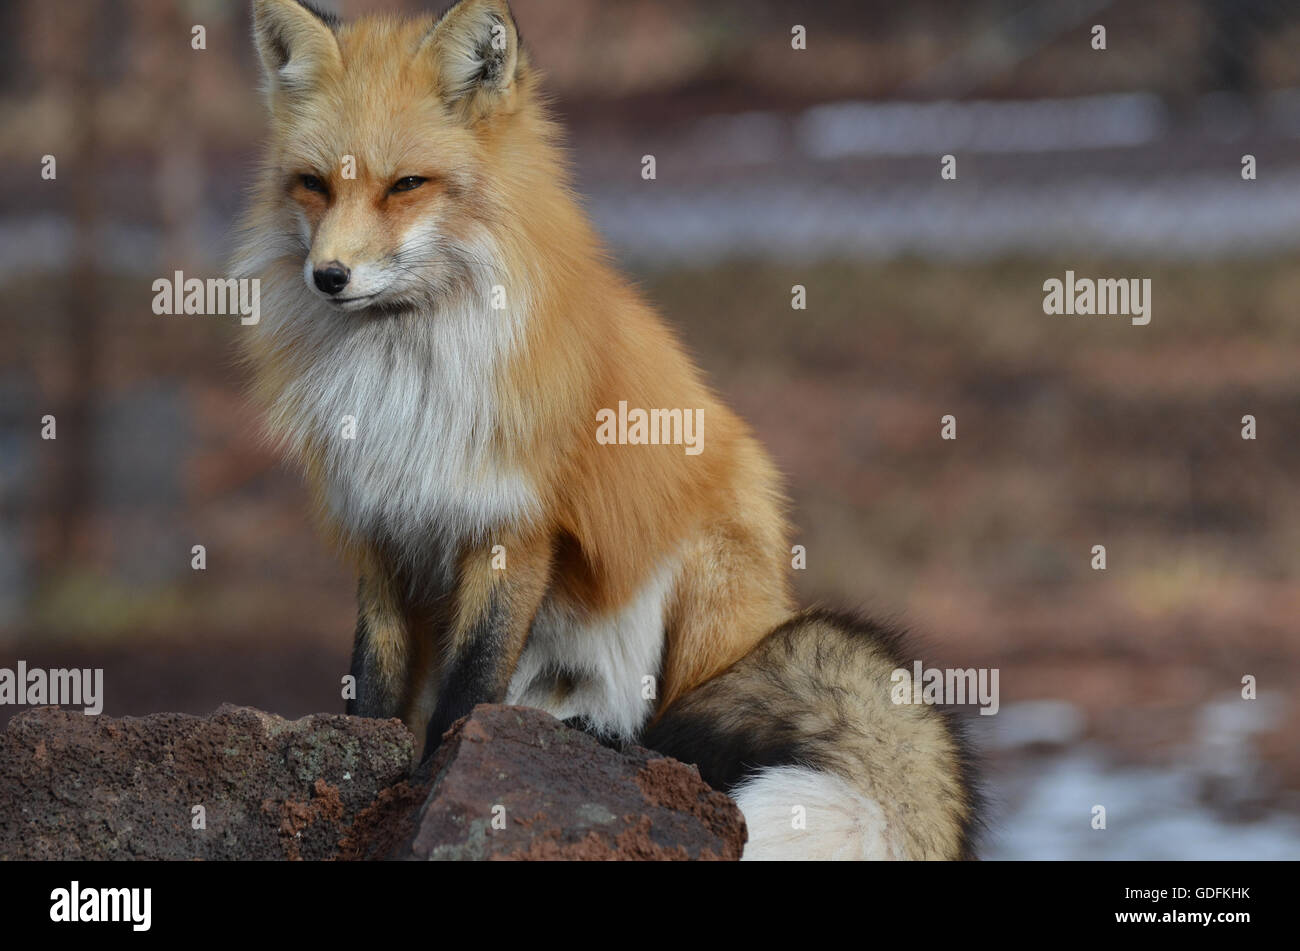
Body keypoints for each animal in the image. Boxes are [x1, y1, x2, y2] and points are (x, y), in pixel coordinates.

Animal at [235, 0, 979, 860]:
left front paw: (436, 778)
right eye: (314, 185)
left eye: (406, 186)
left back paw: (611, 737)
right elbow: (377, 688)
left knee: (656, 726)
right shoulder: (380, 530)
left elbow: (468, 689)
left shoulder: (513, 528)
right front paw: (368, 775)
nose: (329, 276)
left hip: (696, 574)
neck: (405, 377)